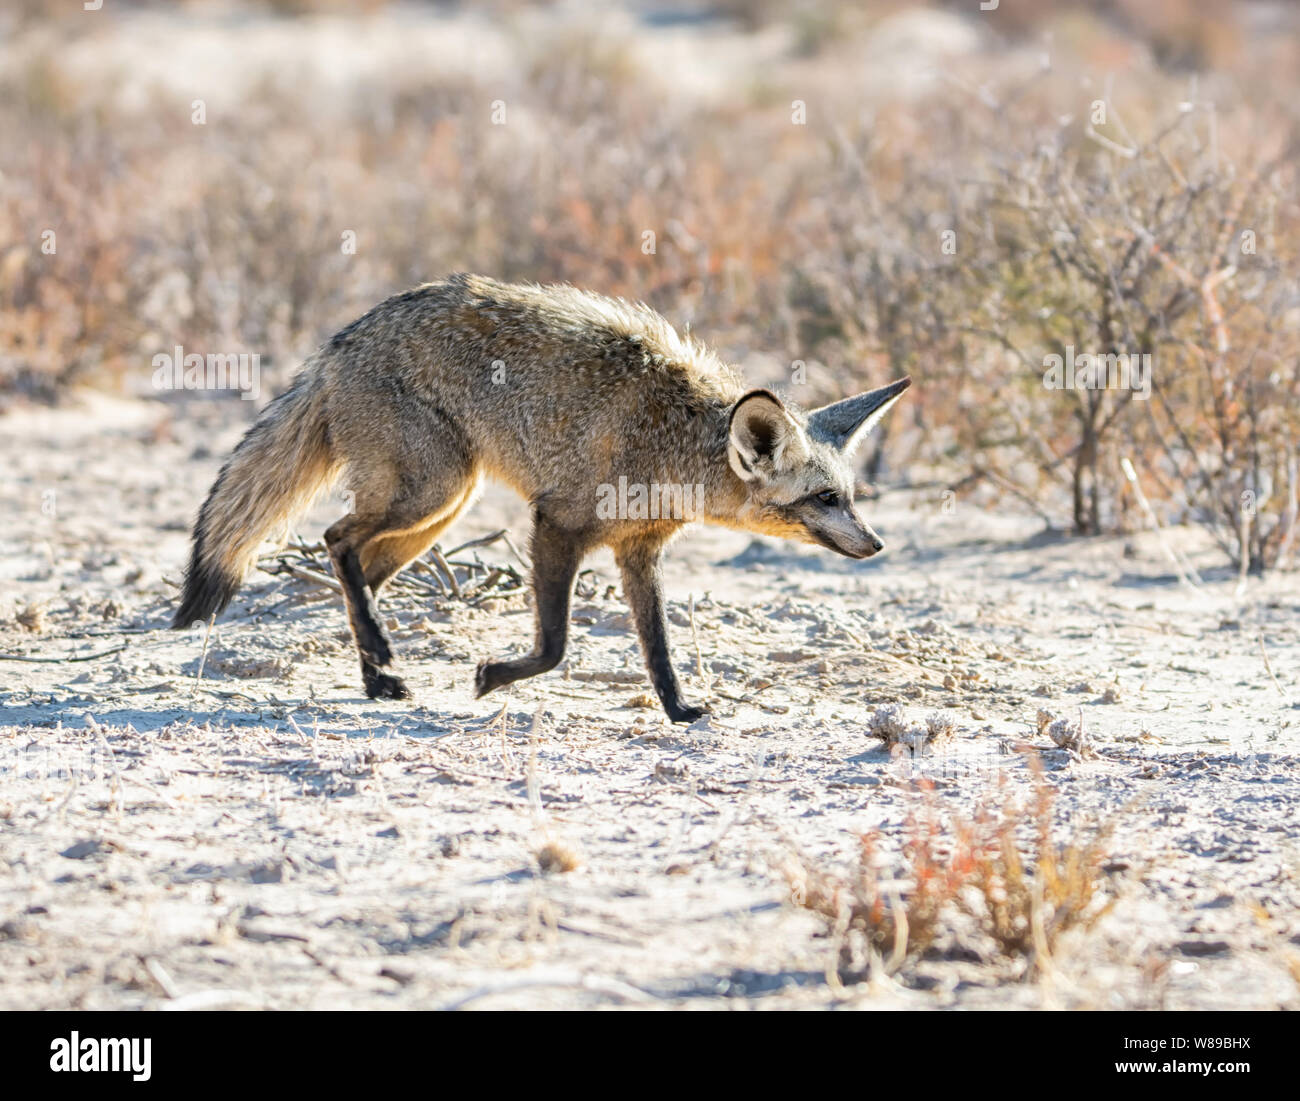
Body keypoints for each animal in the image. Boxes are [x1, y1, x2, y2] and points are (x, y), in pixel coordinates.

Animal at [174, 274, 911, 723]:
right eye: (823, 499)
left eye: (851, 496)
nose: (877, 545)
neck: (676, 442)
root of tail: (336, 346)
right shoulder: (556, 523)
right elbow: (555, 645)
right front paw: (491, 677)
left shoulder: (639, 552)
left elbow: (659, 649)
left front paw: (678, 711)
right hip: (434, 493)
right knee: (336, 540)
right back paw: (382, 661)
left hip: (438, 511)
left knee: (355, 571)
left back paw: (378, 673)